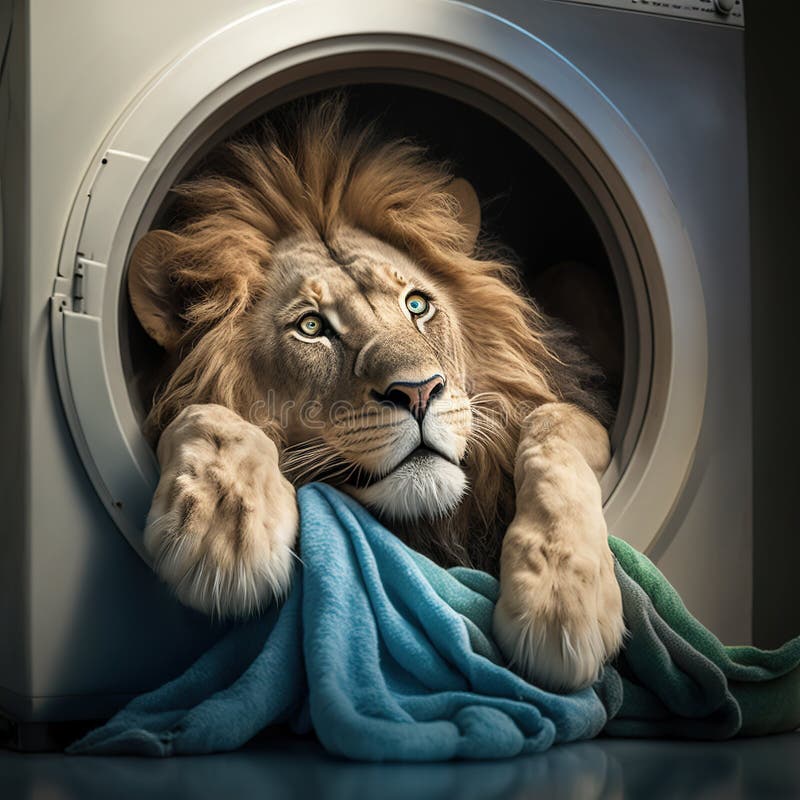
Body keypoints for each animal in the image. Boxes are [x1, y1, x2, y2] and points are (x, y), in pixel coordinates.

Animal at [127, 95, 625, 692]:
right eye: (312, 327)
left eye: (417, 305)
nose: (420, 392)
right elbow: (209, 414)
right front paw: (221, 539)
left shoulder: (584, 420)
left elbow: (551, 424)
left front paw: (561, 598)